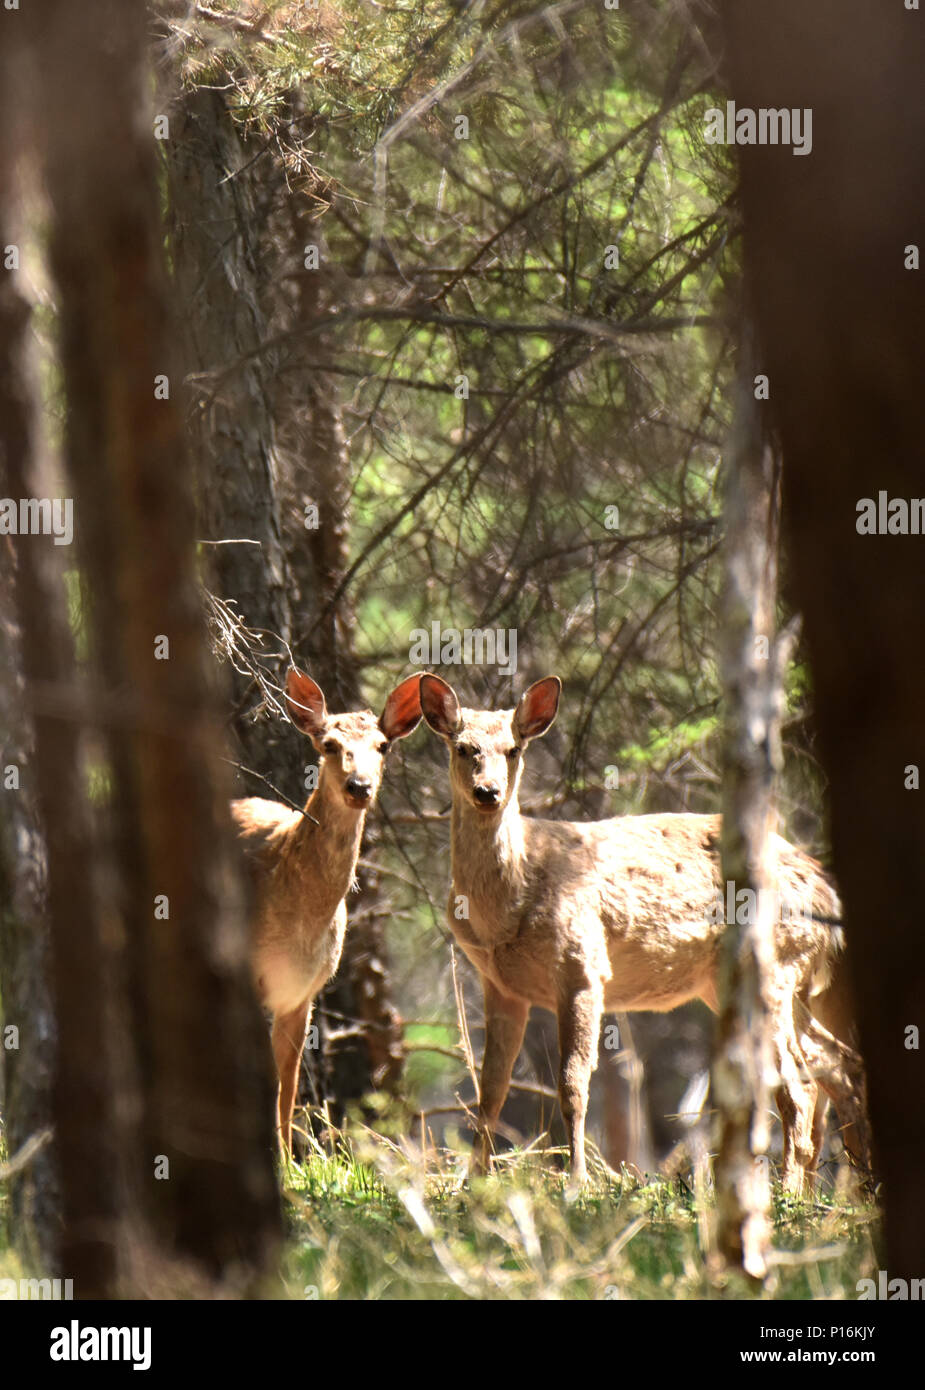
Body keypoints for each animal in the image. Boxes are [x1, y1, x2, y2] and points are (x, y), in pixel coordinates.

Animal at [232, 668, 423, 1155]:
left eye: (383, 745)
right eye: (330, 744)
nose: (359, 786)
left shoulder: (304, 991)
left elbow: (288, 1080)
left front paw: (287, 1158)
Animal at [419, 672, 868, 1192]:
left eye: (513, 749)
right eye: (463, 747)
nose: (488, 792)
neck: (510, 901)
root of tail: (827, 892)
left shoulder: (583, 965)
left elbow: (573, 1082)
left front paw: (578, 1181)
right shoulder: (501, 984)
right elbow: (490, 1087)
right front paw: (473, 1181)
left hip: (774, 962)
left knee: (799, 1082)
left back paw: (792, 1191)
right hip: (747, 982)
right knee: (837, 1064)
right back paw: (849, 1190)